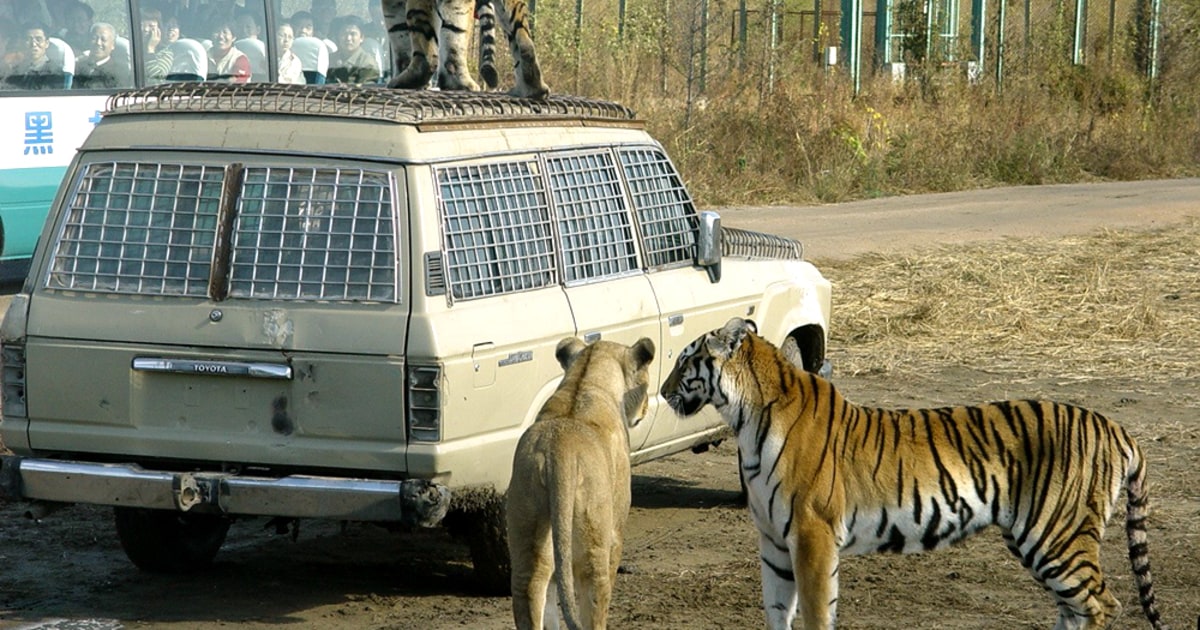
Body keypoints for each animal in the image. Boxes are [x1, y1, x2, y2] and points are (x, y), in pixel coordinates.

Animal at [507, 336, 656, 629]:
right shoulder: (616, 532)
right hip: (593, 534)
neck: (585, 380)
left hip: (527, 523)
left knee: (531, 585)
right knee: (594, 594)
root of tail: (558, 450)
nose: (644, 410)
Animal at [659, 316, 1169, 630]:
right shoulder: (774, 542)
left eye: (684, 361)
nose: (661, 393)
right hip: (1038, 539)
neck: (746, 419)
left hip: (1057, 533)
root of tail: (1115, 426)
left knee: (1100, 604)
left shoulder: (812, 532)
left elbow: (817, 614)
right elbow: (776, 612)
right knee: (1075, 608)